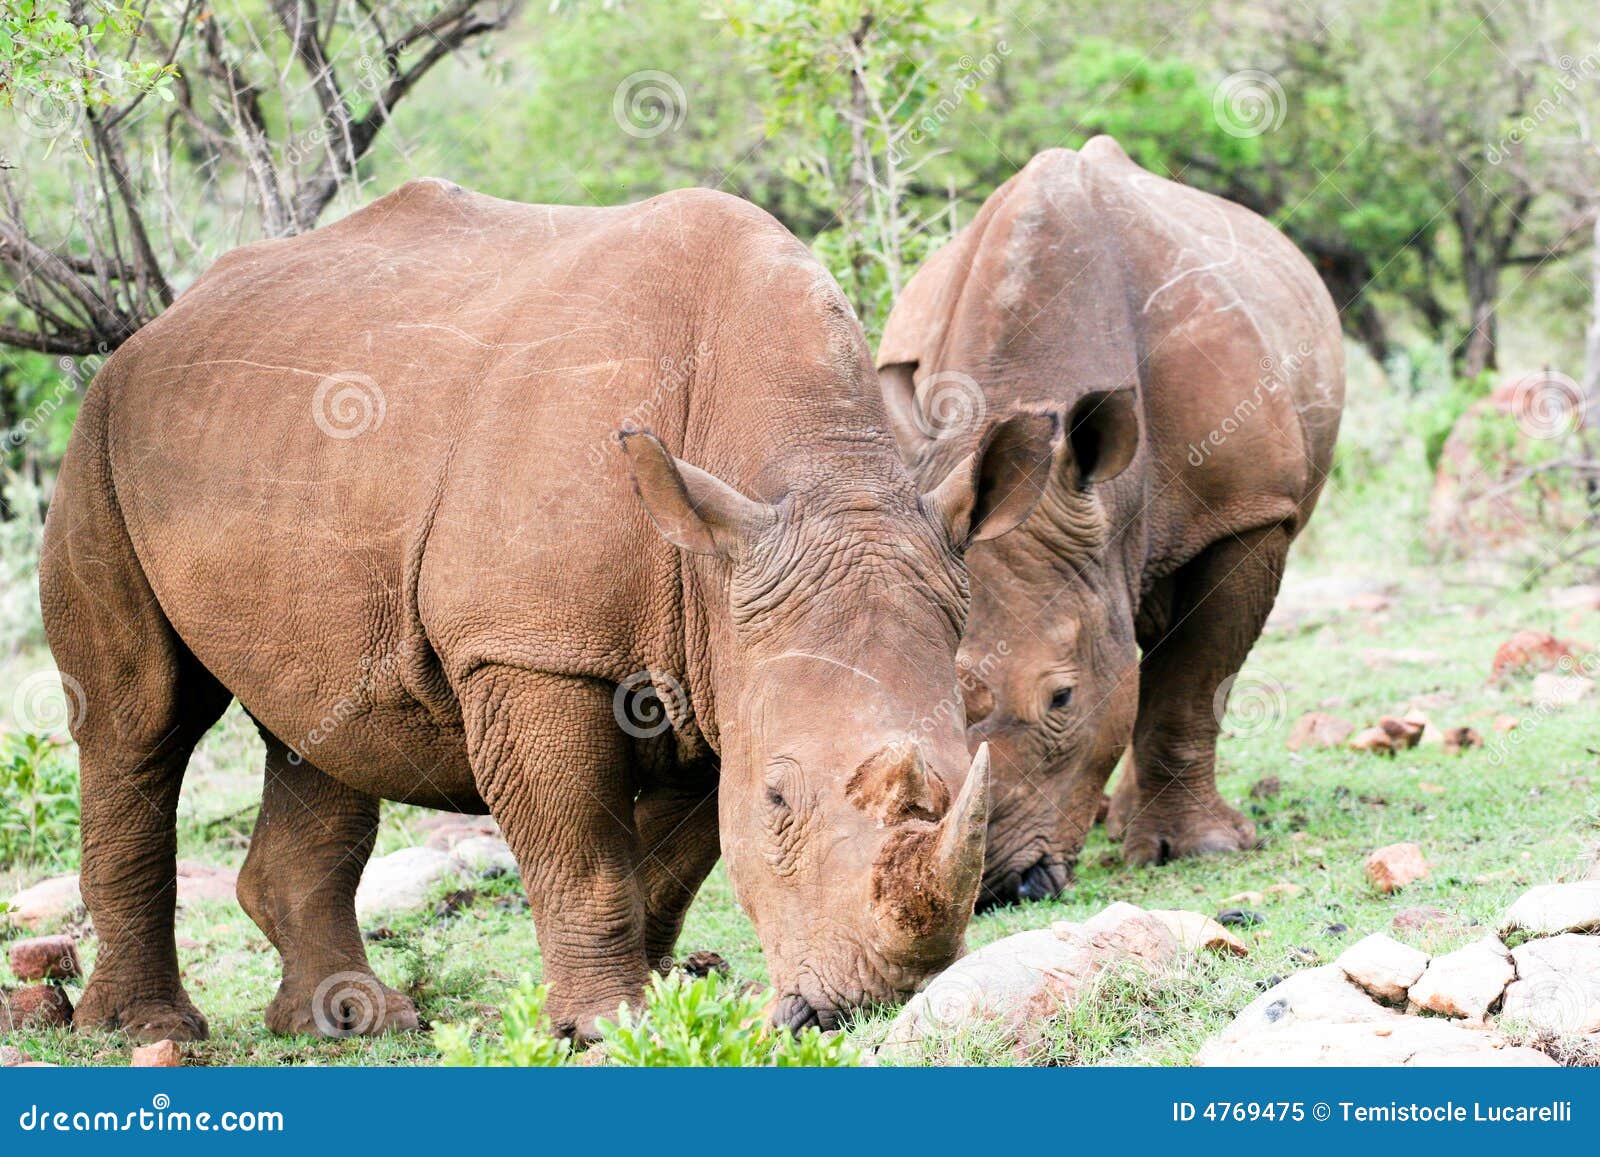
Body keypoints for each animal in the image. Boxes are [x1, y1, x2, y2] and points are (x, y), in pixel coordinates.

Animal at [40, 180, 1058, 1041]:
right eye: (779, 797)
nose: (862, 1008)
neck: (801, 472)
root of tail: (157, 329)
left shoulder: (717, 658)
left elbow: (667, 865)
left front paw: (653, 1009)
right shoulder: (534, 649)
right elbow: (585, 854)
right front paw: (609, 1026)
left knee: (322, 721)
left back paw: (353, 1020)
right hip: (99, 435)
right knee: (140, 716)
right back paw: (149, 1029)